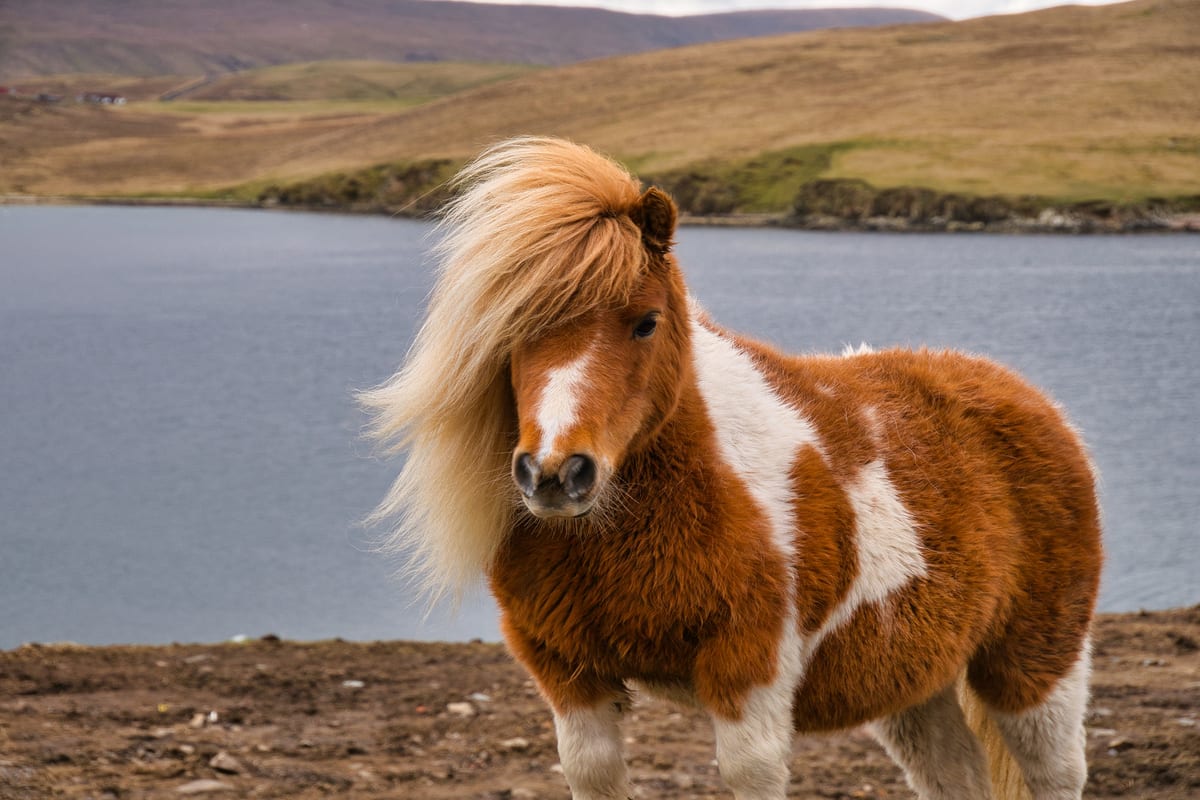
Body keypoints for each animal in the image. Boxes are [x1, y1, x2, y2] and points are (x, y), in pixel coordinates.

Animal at [361, 137, 1103, 800]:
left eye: (646, 322)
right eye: (514, 326)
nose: (555, 475)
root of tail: (1028, 399)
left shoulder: (750, 677)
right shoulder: (570, 678)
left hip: (1035, 667)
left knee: (1056, 773)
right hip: (915, 683)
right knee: (954, 774)